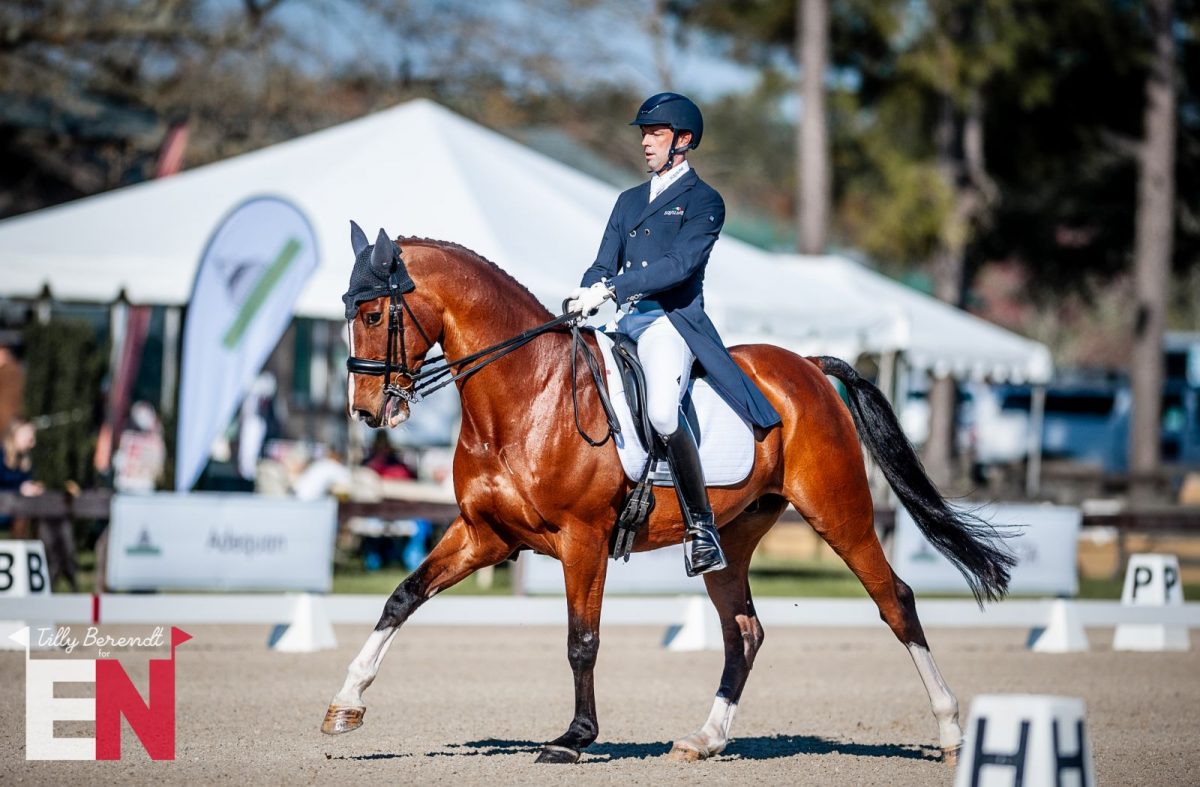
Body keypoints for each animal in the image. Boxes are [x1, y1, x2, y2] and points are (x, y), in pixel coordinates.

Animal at [322, 227, 1014, 765]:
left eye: (375, 315)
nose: (366, 411)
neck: (526, 395)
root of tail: (809, 367)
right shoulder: (483, 534)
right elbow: (402, 596)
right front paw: (345, 705)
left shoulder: (582, 539)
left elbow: (581, 640)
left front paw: (575, 738)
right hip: (731, 536)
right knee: (744, 633)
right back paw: (705, 739)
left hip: (840, 513)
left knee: (895, 601)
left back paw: (952, 732)